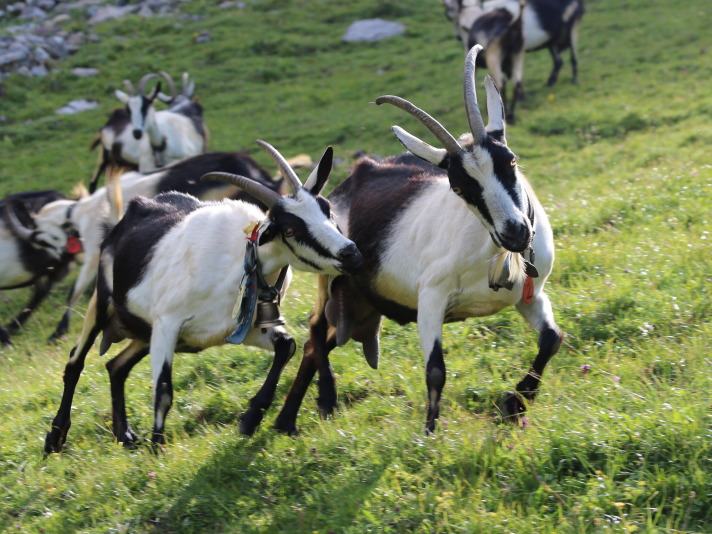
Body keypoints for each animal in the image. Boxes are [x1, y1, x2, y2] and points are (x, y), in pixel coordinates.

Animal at [8, 152, 279, 342]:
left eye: (47, 239)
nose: (55, 266)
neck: (81, 213)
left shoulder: (95, 252)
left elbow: (74, 291)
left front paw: (57, 331)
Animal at [44, 140, 363, 454]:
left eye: (327, 210)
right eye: (289, 228)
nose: (350, 253)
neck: (242, 258)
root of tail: (122, 220)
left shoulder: (237, 329)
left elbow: (287, 345)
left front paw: (250, 420)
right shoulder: (167, 323)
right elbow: (163, 390)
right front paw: (157, 451)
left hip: (143, 334)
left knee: (116, 367)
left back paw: (124, 435)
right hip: (103, 303)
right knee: (75, 361)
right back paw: (55, 439)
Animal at [274, 45, 562, 435]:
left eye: (511, 161)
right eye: (458, 186)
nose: (515, 231)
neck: (493, 252)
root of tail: (353, 179)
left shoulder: (530, 296)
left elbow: (552, 339)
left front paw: (516, 403)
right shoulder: (431, 297)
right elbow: (435, 370)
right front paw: (429, 435)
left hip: (365, 300)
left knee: (316, 342)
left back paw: (284, 420)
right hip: (331, 275)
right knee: (316, 330)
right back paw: (304, 409)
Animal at [442, 0, 585, 121]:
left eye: (457, 22)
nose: (458, 37)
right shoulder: (509, 61)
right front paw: (522, 98)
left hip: (572, 28)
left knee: (572, 57)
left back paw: (574, 80)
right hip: (545, 44)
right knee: (556, 62)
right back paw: (550, 83)